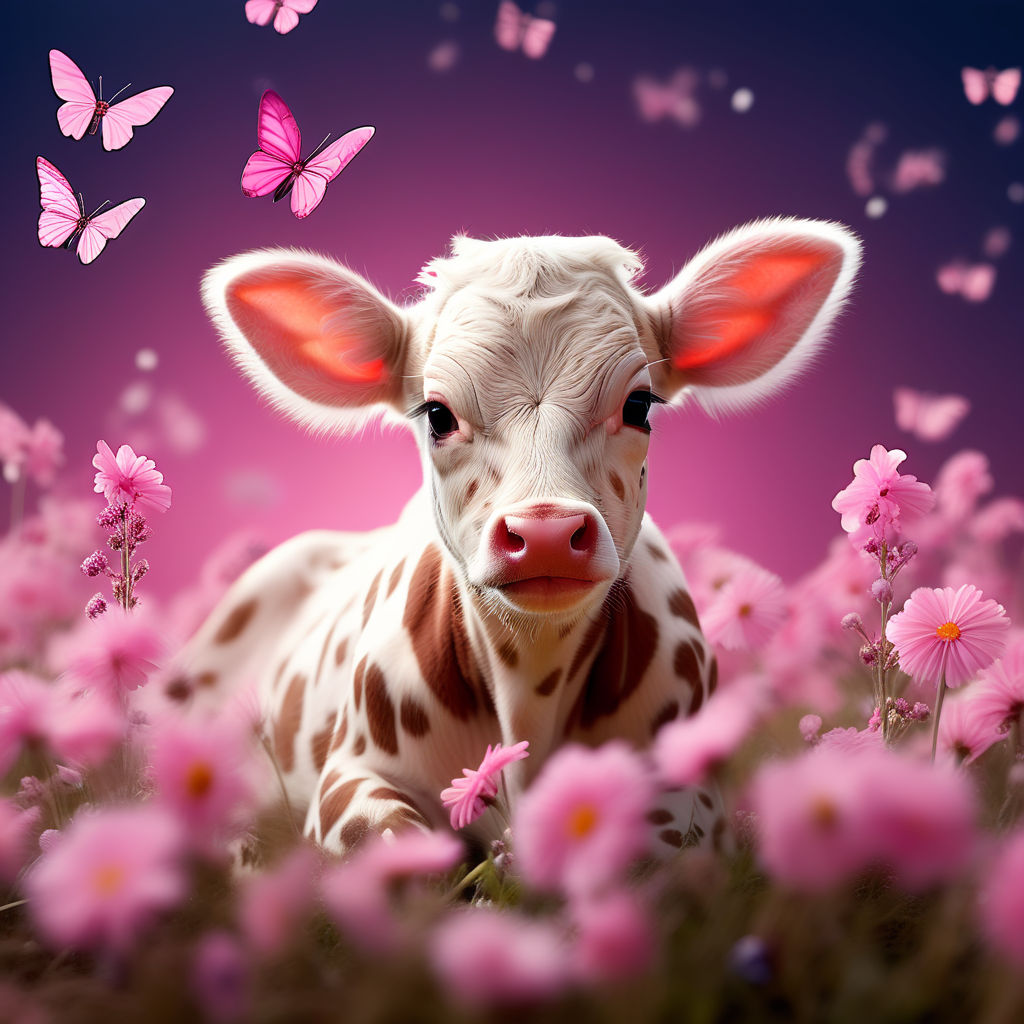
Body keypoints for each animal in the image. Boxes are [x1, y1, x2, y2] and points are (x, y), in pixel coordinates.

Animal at [179, 218, 861, 856]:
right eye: (437, 414)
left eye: (639, 405)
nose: (547, 532)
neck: (528, 686)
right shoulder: (352, 771)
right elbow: (391, 843)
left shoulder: (693, 790)